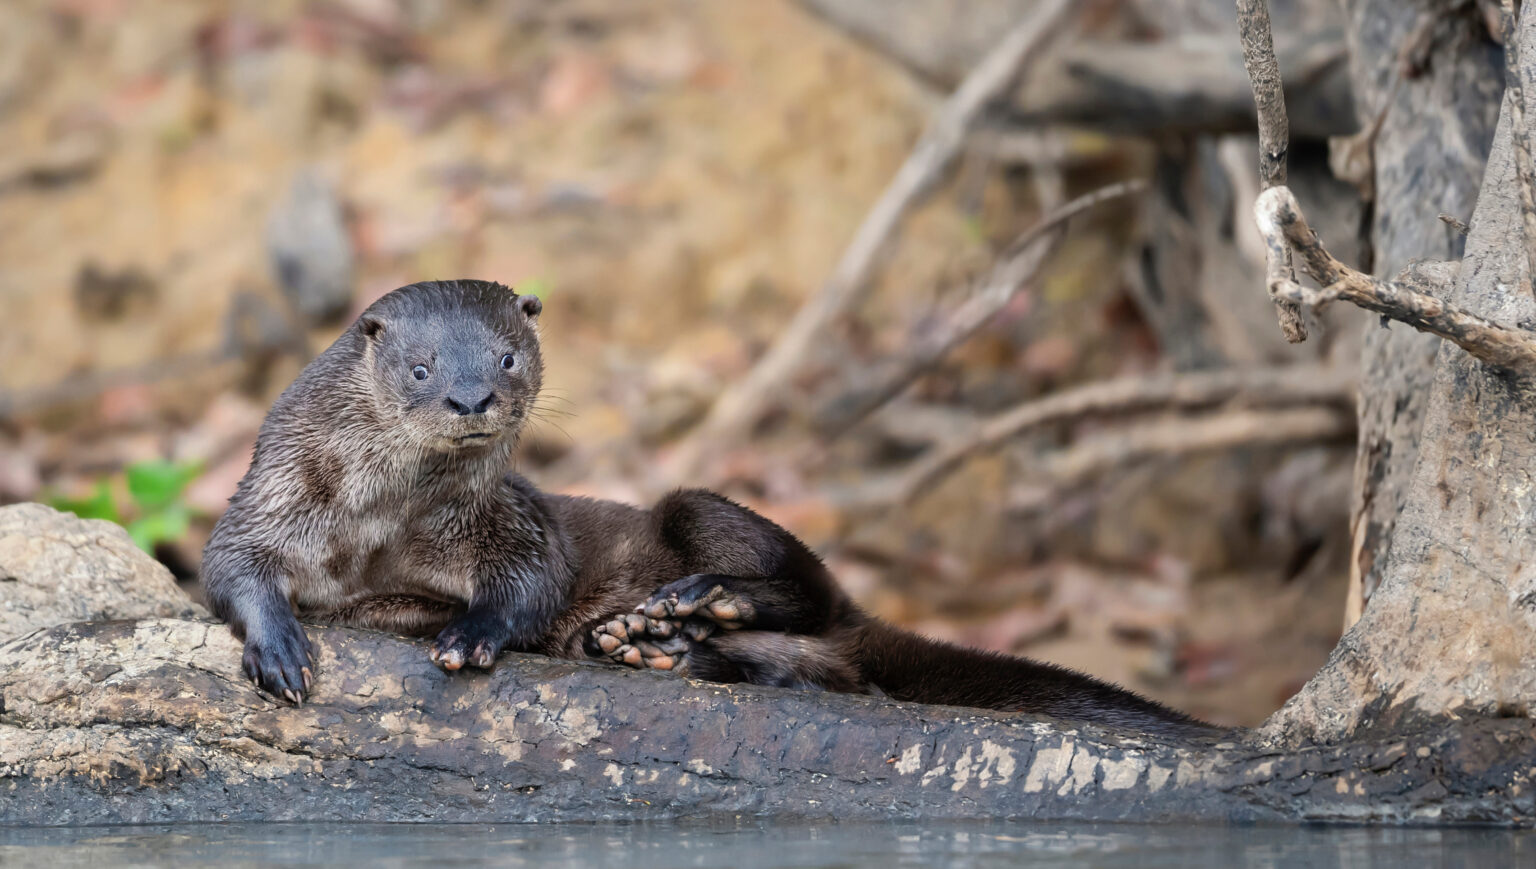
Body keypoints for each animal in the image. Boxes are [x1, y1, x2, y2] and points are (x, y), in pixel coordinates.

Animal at [203, 279, 1212, 737]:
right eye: (419, 368)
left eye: (506, 357)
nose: (469, 398)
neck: (378, 524)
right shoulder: (274, 491)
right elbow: (228, 563)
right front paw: (281, 645)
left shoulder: (510, 515)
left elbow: (533, 575)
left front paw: (474, 631)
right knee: (823, 673)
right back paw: (660, 643)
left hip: (702, 508)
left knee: (810, 603)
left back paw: (697, 606)